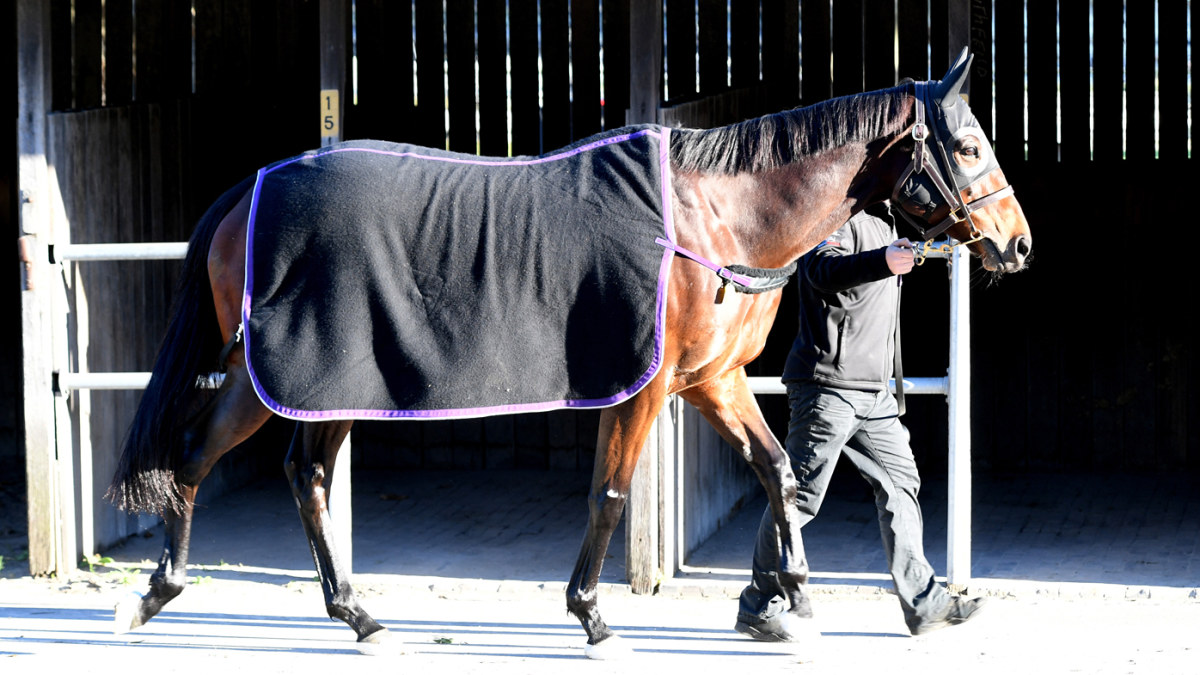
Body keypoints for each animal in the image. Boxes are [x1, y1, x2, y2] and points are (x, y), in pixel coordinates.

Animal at [107, 50, 1030, 658]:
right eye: (970, 145)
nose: (1018, 244)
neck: (710, 218)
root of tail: (250, 188)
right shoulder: (644, 390)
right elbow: (611, 495)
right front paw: (593, 615)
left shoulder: (713, 381)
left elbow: (778, 470)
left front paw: (793, 599)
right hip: (291, 376)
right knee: (201, 455)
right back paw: (156, 596)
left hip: (318, 383)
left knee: (296, 474)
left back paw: (353, 614)